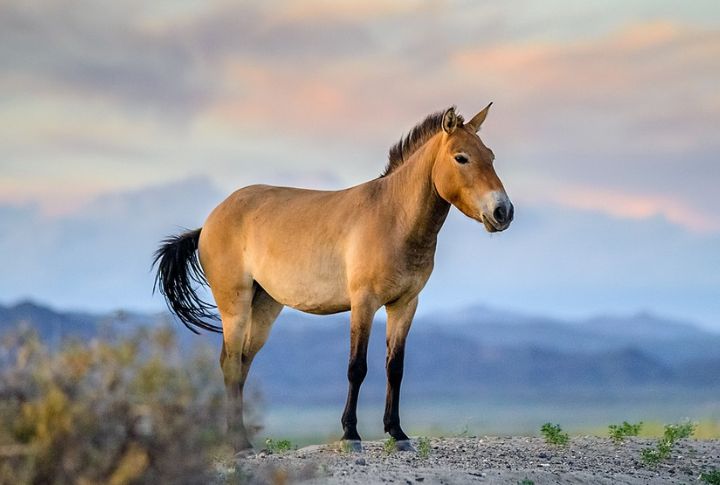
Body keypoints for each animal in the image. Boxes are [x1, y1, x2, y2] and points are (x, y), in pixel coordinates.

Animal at [153, 104, 513, 453]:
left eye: (491, 156)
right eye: (461, 157)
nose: (503, 212)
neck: (393, 218)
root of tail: (210, 221)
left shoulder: (405, 304)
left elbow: (394, 368)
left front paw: (397, 433)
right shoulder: (364, 303)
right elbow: (357, 367)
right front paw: (350, 434)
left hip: (265, 306)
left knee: (242, 363)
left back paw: (240, 440)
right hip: (235, 305)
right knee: (229, 363)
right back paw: (238, 445)